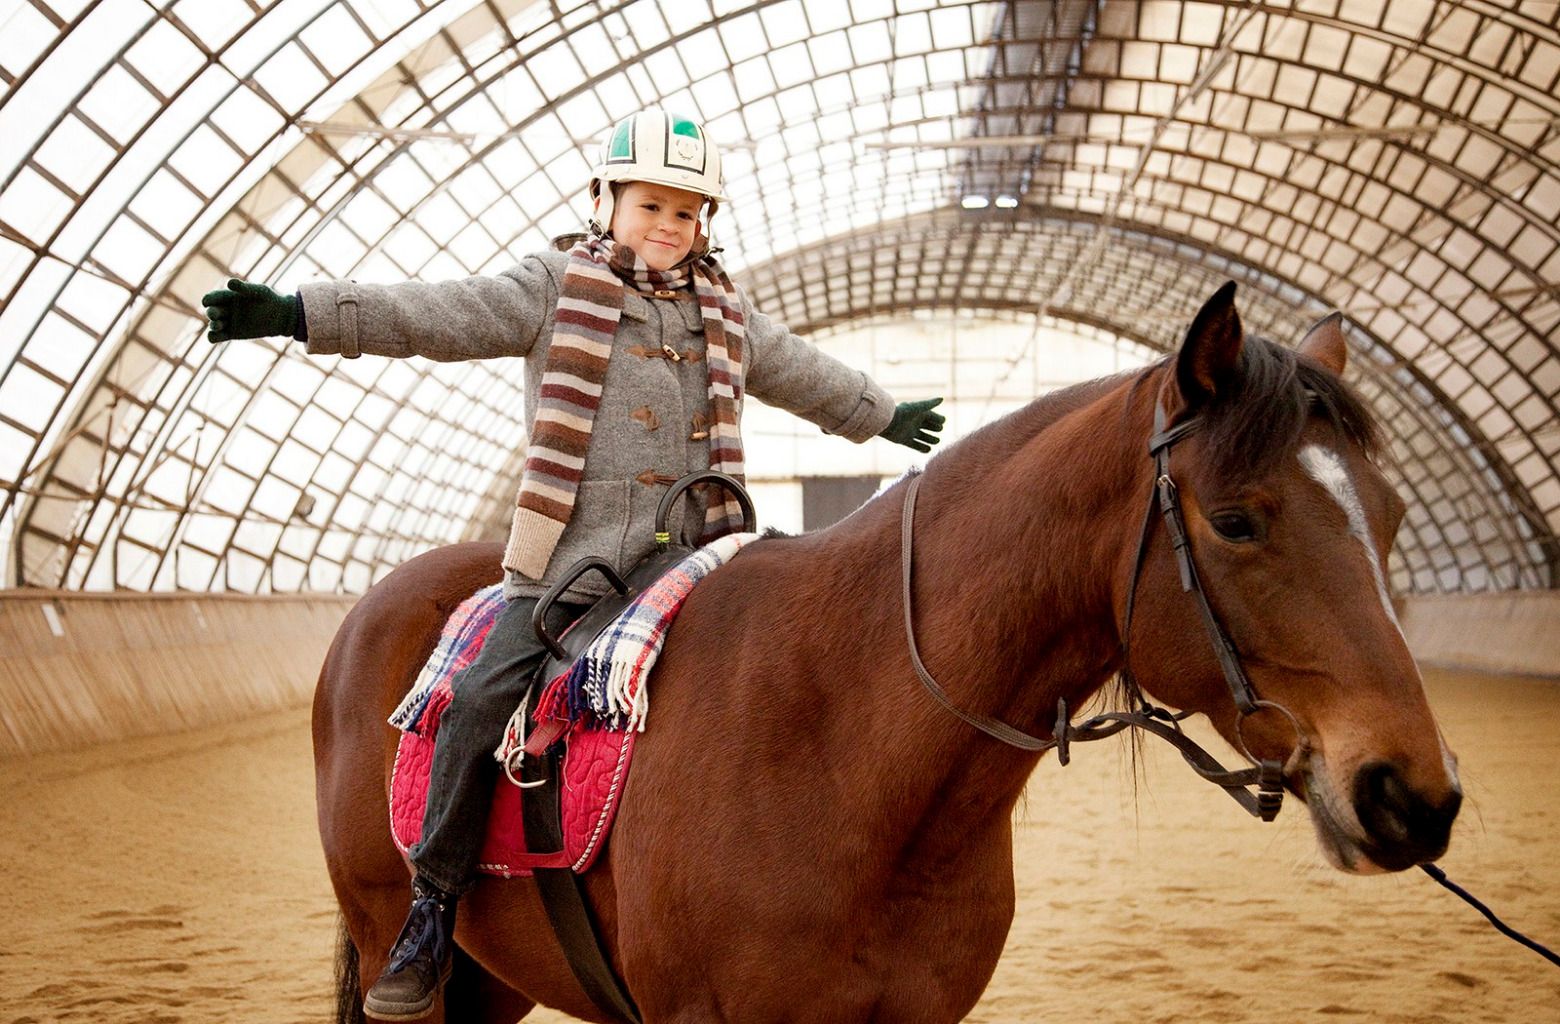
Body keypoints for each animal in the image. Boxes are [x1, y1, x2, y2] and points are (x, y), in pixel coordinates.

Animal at [313, 283, 1462, 1023]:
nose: (1413, 793)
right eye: (1234, 522)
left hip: (495, 978)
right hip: (398, 946)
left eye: (1399, 517)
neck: (846, 748)